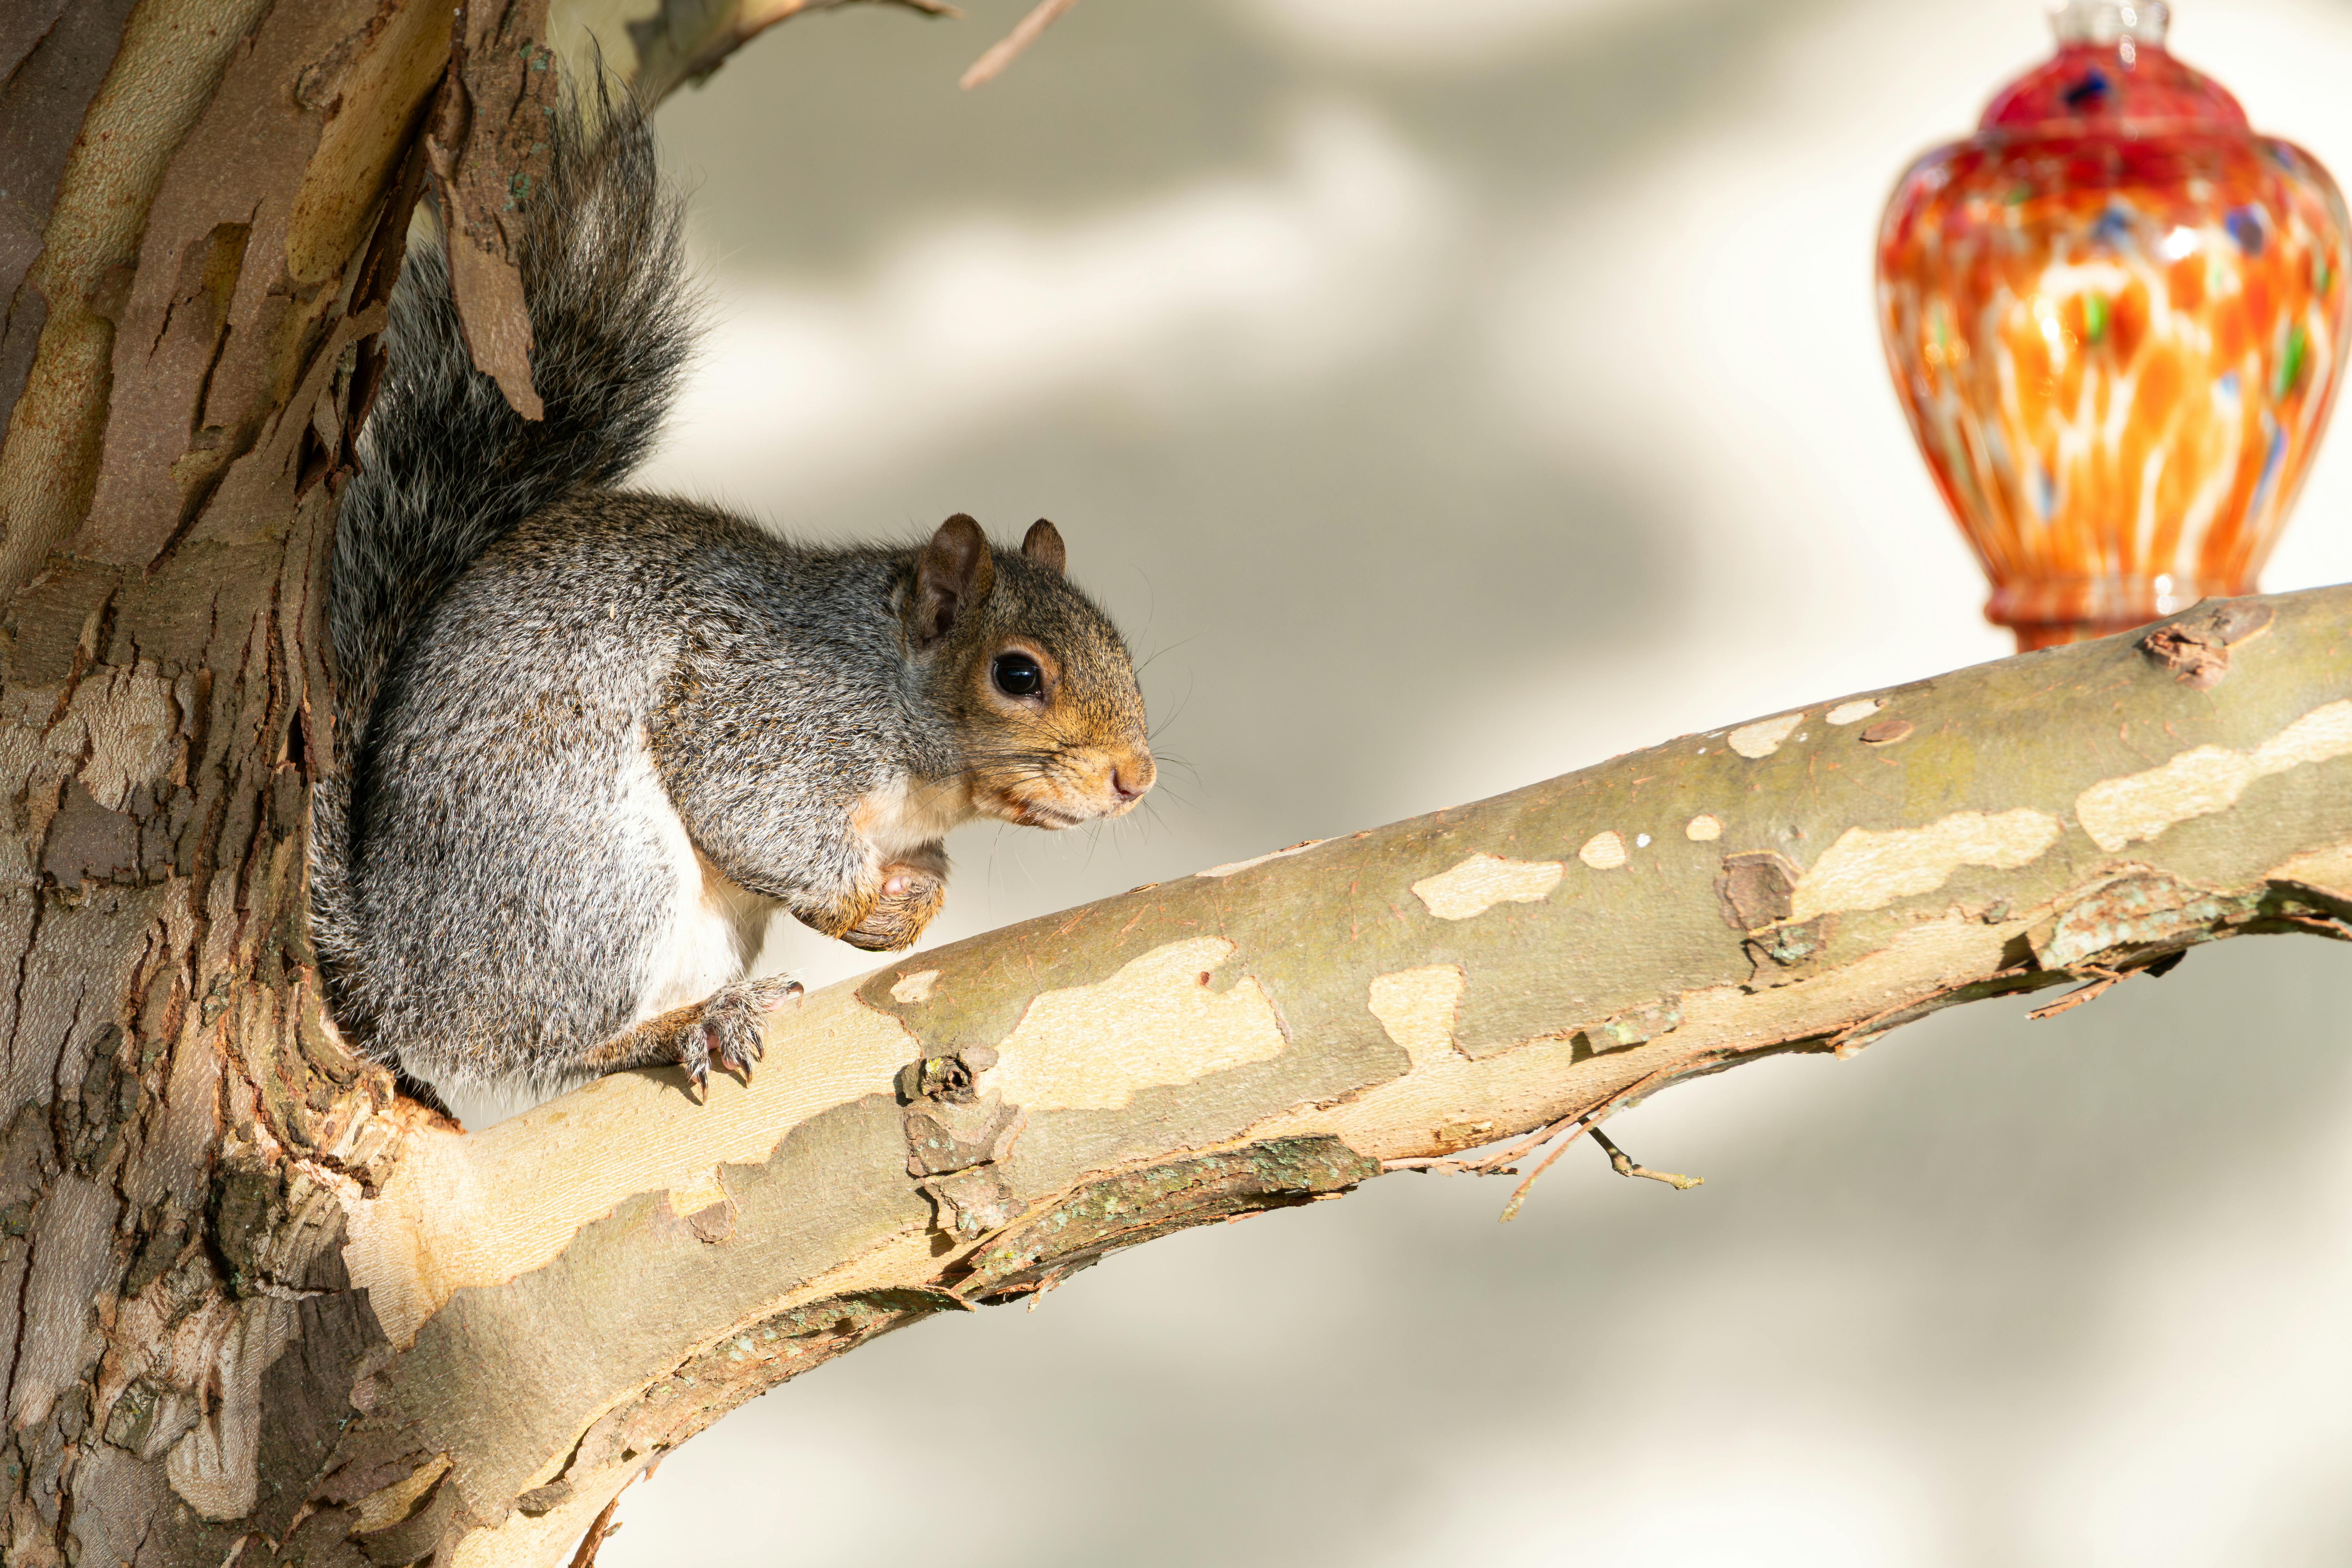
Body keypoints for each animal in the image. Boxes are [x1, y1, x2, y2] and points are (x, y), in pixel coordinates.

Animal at [309, 94, 1155, 1100]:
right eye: (1018, 675)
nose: (1137, 778)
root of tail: (397, 980)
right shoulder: (767, 722)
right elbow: (753, 815)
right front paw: (856, 904)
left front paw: (910, 909)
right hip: (590, 878)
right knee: (547, 1044)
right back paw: (683, 1024)